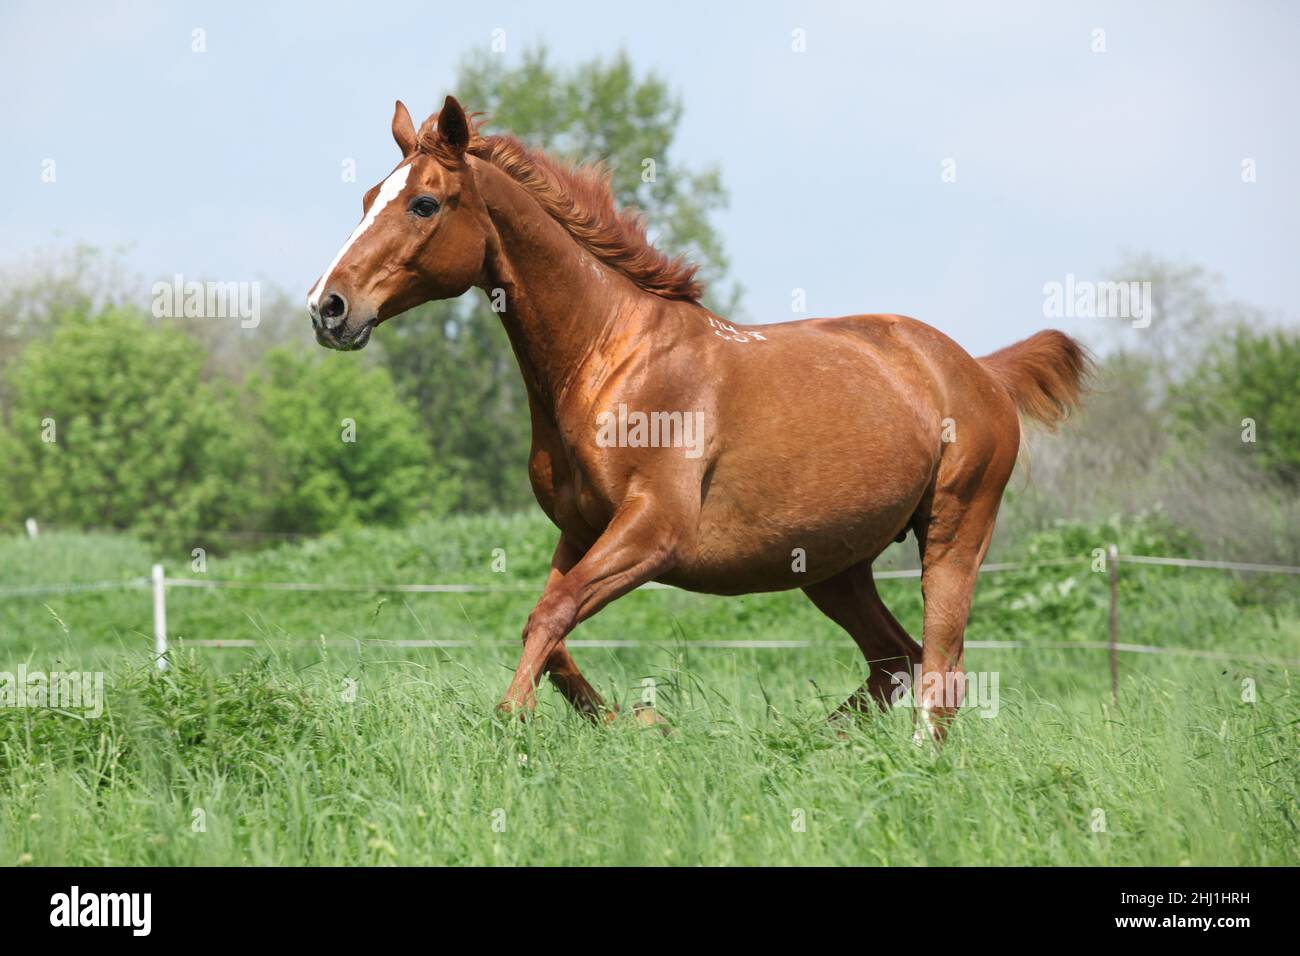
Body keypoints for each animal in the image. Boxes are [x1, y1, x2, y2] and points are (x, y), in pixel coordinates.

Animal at [307, 95, 1090, 740]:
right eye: (369, 197)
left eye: (424, 204)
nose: (327, 307)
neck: (607, 360)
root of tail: (978, 371)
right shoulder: (582, 530)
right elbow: (552, 629)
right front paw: (630, 720)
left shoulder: (653, 531)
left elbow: (552, 615)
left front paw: (515, 722)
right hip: (834, 566)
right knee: (897, 660)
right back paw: (806, 746)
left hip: (954, 532)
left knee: (941, 671)